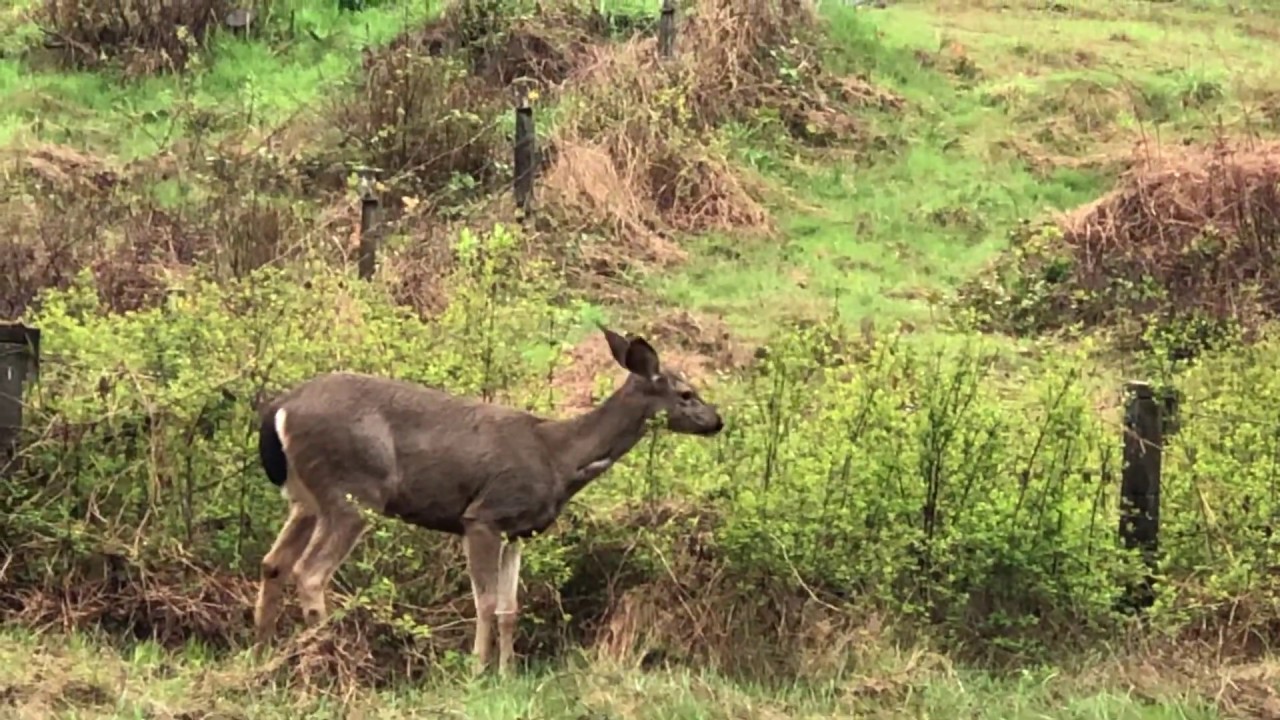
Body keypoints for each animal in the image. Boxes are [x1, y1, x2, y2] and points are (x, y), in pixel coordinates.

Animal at [252, 325, 724, 674]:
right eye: (686, 393)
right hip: (353, 491)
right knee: (310, 572)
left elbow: (510, 608)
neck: (558, 457)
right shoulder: (483, 515)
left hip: (307, 499)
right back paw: (323, 652)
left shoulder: (519, 531)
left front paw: (508, 672)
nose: (717, 420)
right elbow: (487, 602)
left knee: (274, 562)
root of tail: (280, 408)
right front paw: (478, 669)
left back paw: (262, 654)